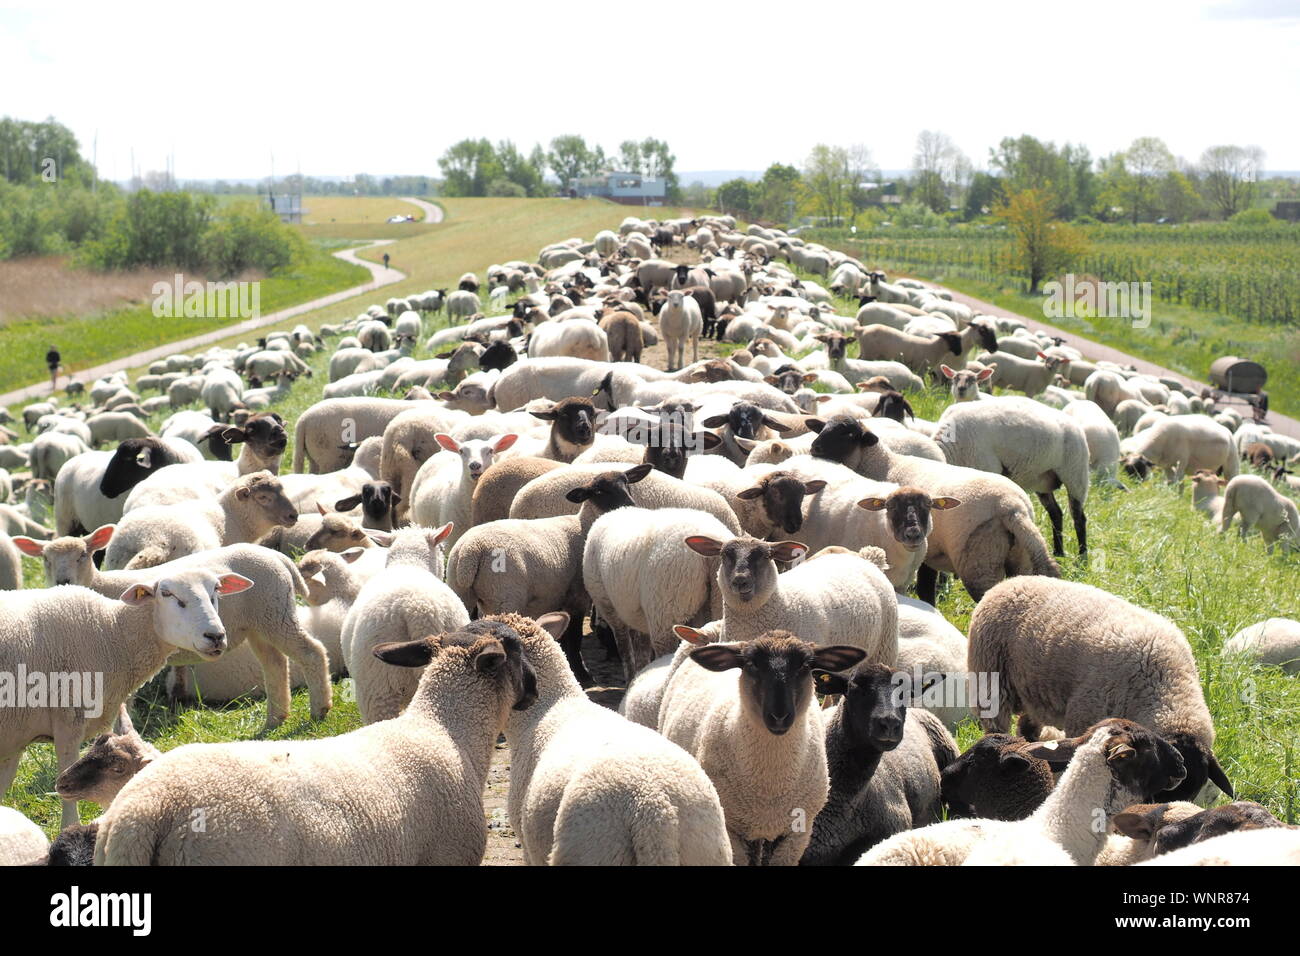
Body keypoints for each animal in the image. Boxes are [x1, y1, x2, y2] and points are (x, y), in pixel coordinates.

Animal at [0, 567, 255, 826]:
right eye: (166, 593)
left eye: (216, 590)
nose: (215, 636)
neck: (112, 634)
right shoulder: (68, 719)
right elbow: (68, 798)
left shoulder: (16, 735)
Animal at [659, 632, 866, 865]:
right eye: (751, 664)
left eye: (805, 665)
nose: (779, 717)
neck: (770, 785)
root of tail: (729, 642)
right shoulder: (733, 831)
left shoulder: (796, 834)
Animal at [807, 415, 1059, 604]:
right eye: (824, 427)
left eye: (848, 434)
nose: (814, 448)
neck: (883, 464)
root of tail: (1013, 506)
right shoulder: (929, 550)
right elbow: (926, 588)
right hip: (1020, 557)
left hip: (979, 562)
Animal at [934, 396, 1090, 557]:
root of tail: (1075, 424)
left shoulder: (987, 469)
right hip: (1043, 479)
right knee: (1056, 513)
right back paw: (1058, 553)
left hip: (1075, 473)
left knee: (1078, 517)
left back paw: (1082, 556)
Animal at [968, 576, 1233, 802]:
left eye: (1191, 794)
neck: (1166, 685)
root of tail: (1009, 582)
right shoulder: (1084, 717)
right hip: (991, 680)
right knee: (996, 726)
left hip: (1032, 691)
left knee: (1028, 726)